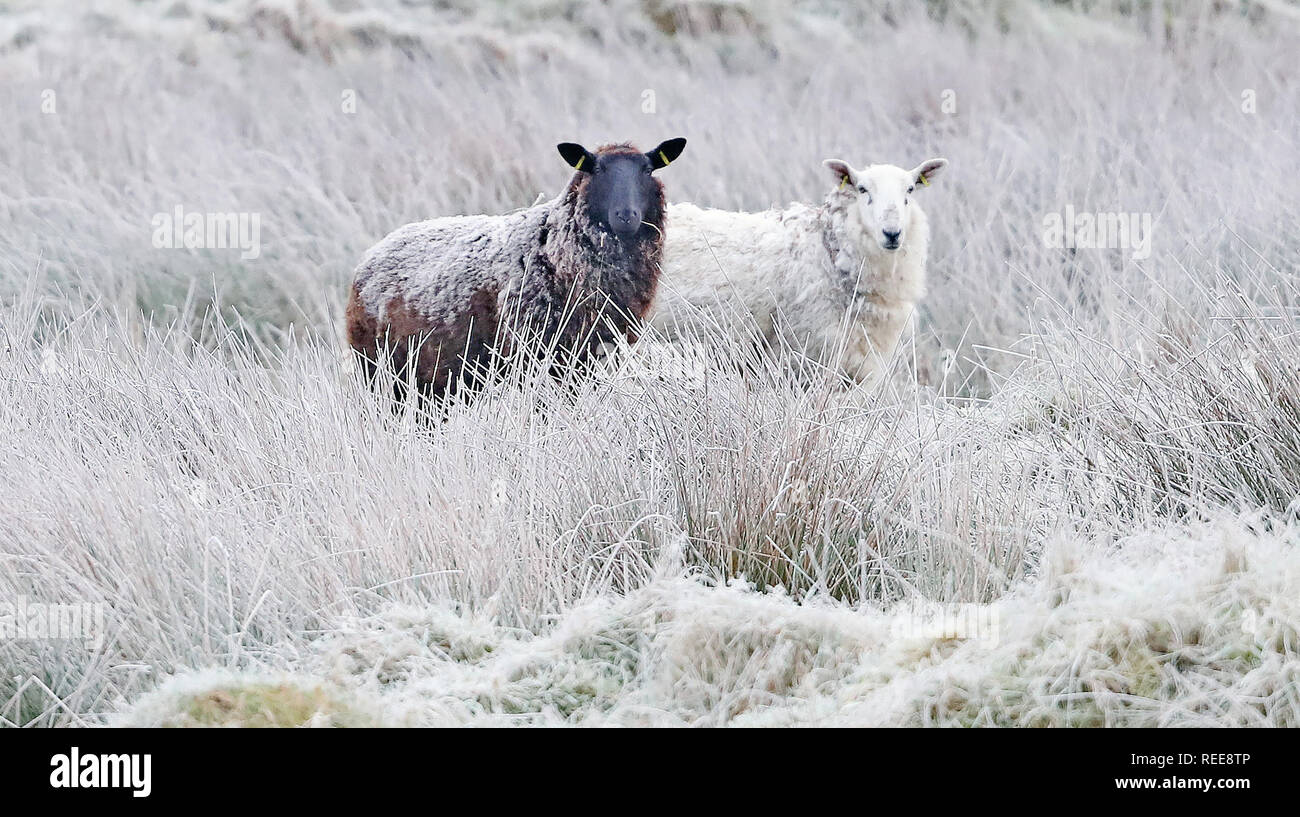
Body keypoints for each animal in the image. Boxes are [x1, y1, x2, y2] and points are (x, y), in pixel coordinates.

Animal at [346, 138, 688, 405]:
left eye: (647, 170)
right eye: (596, 169)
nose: (626, 216)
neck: (555, 252)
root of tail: (370, 256)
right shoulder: (536, 356)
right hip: (380, 373)